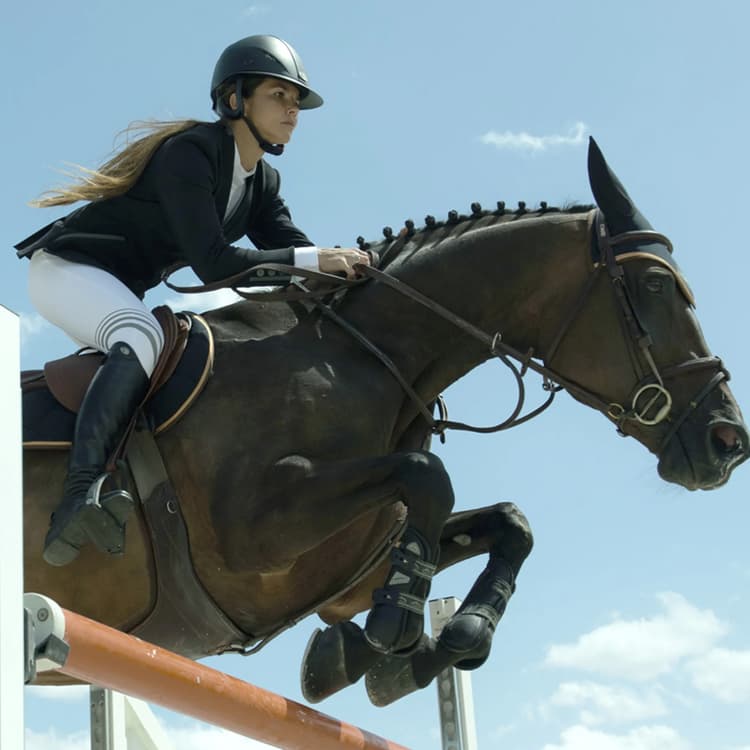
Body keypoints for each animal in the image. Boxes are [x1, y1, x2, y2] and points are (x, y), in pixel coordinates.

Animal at [22, 138, 747, 707]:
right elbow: (428, 473)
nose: (728, 442)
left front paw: (425, 645)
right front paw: (393, 631)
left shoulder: (351, 570)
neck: (361, 358)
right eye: (655, 286)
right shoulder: (249, 536)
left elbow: (508, 523)